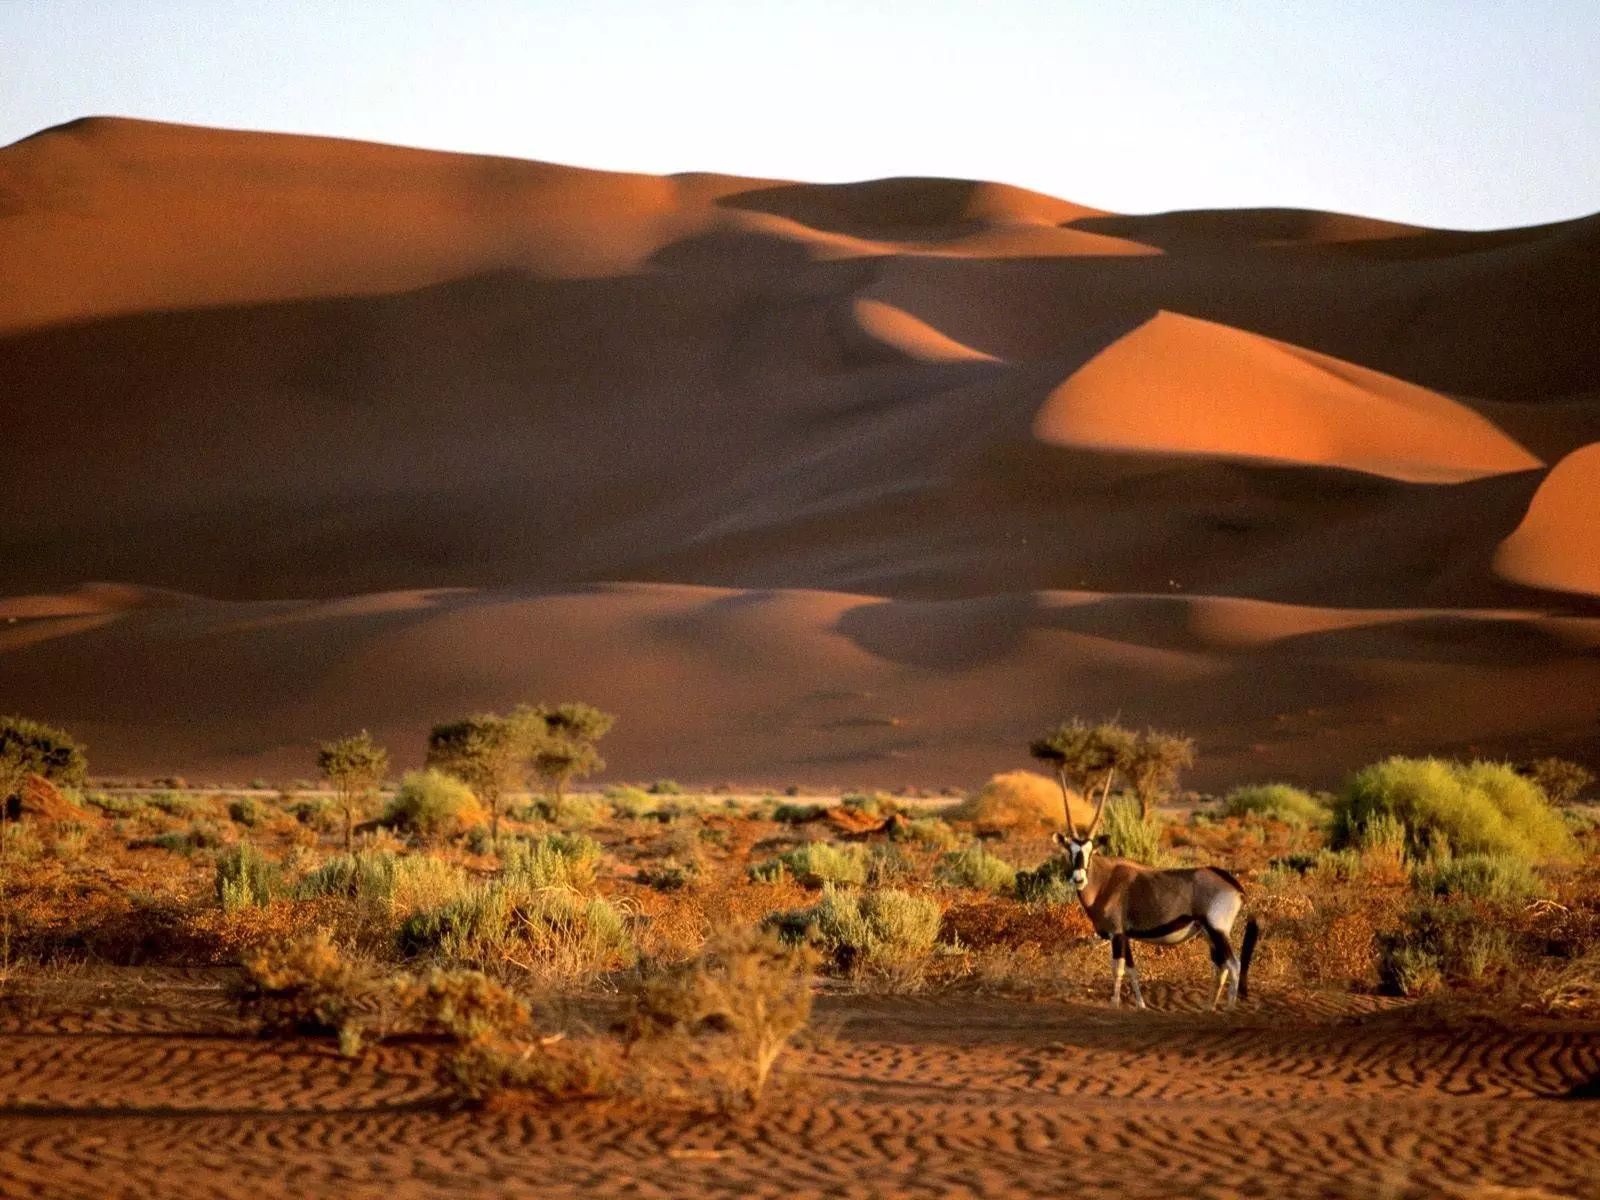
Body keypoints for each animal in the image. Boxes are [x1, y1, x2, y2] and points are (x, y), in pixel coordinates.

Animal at [1056, 784, 1254, 1011]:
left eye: (1091, 851)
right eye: (1069, 850)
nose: (1079, 878)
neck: (1105, 881)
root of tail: (1234, 886)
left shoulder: (1117, 934)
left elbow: (1118, 969)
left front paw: (1114, 1004)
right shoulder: (1126, 936)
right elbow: (1132, 970)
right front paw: (1141, 1005)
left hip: (1217, 930)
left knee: (1233, 964)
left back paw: (1228, 1009)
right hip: (1208, 934)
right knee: (1221, 967)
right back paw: (1208, 1007)